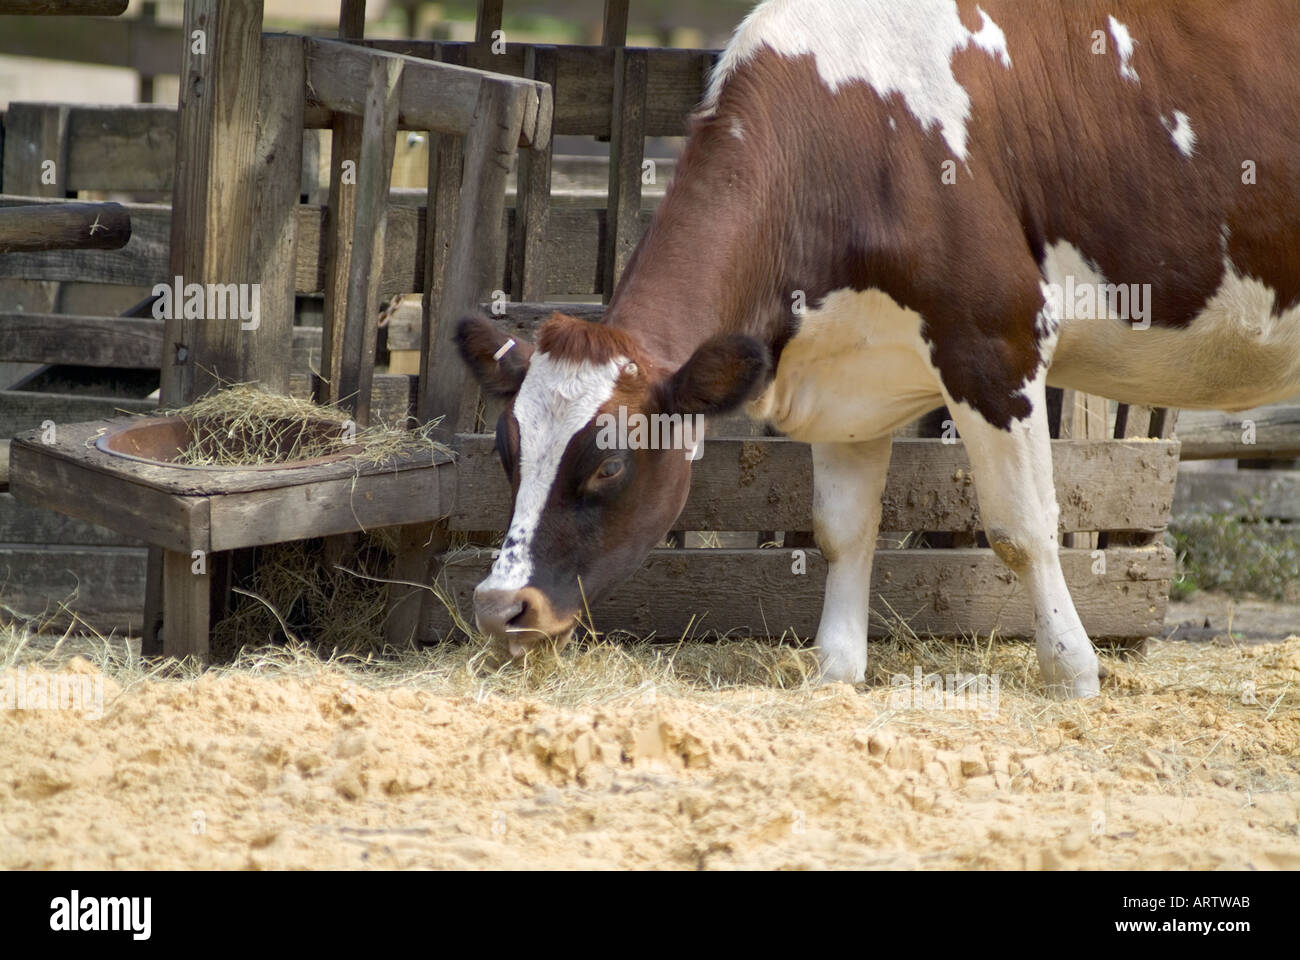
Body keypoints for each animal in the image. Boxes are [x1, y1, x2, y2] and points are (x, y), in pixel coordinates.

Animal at [457, 0, 1300, 698]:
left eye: (608, 464)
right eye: (505, 450)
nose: (499, 607)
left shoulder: (997, 340)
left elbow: (1022, 527)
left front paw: (1073, 672)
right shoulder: (846, 378)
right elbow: (841, 529)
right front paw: (836, 669)